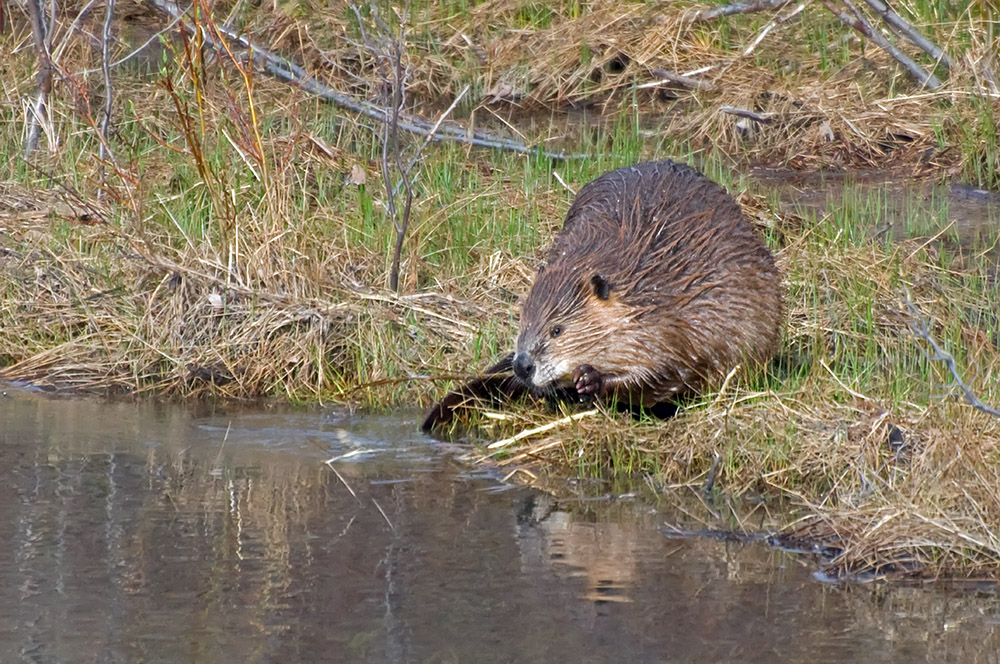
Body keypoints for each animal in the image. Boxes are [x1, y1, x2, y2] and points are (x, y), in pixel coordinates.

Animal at [420, 160, 780, 430]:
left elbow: (669, 368)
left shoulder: (686, 315)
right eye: (522, 321)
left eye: (557, 330)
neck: (642, 279)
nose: (522, 365)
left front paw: (589, 380)